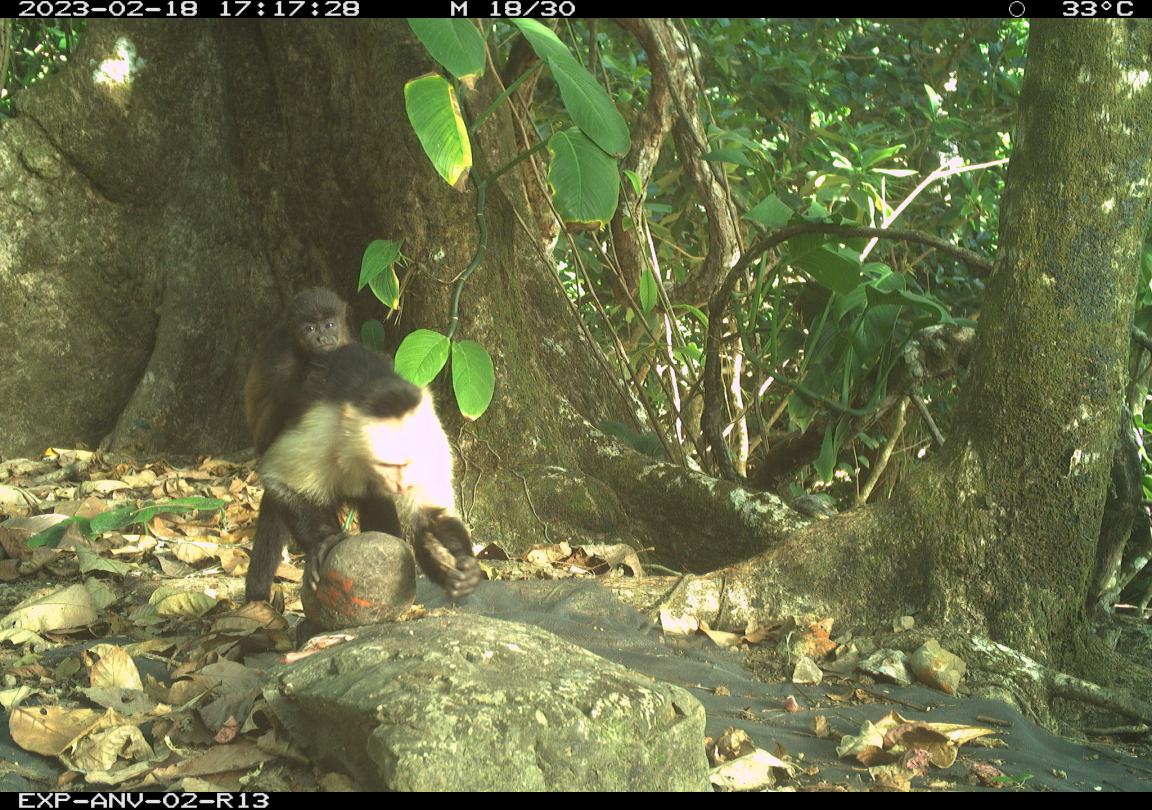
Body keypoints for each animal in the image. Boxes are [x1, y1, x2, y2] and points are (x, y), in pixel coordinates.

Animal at [244, 342, 481, 604]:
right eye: (388, 465)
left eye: (408, 464)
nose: (402, 485)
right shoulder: (322, 428)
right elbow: (278, 478)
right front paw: (326, 541)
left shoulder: (433, 437)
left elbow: (433, 515)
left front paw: (462, 566)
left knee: (379, 507)